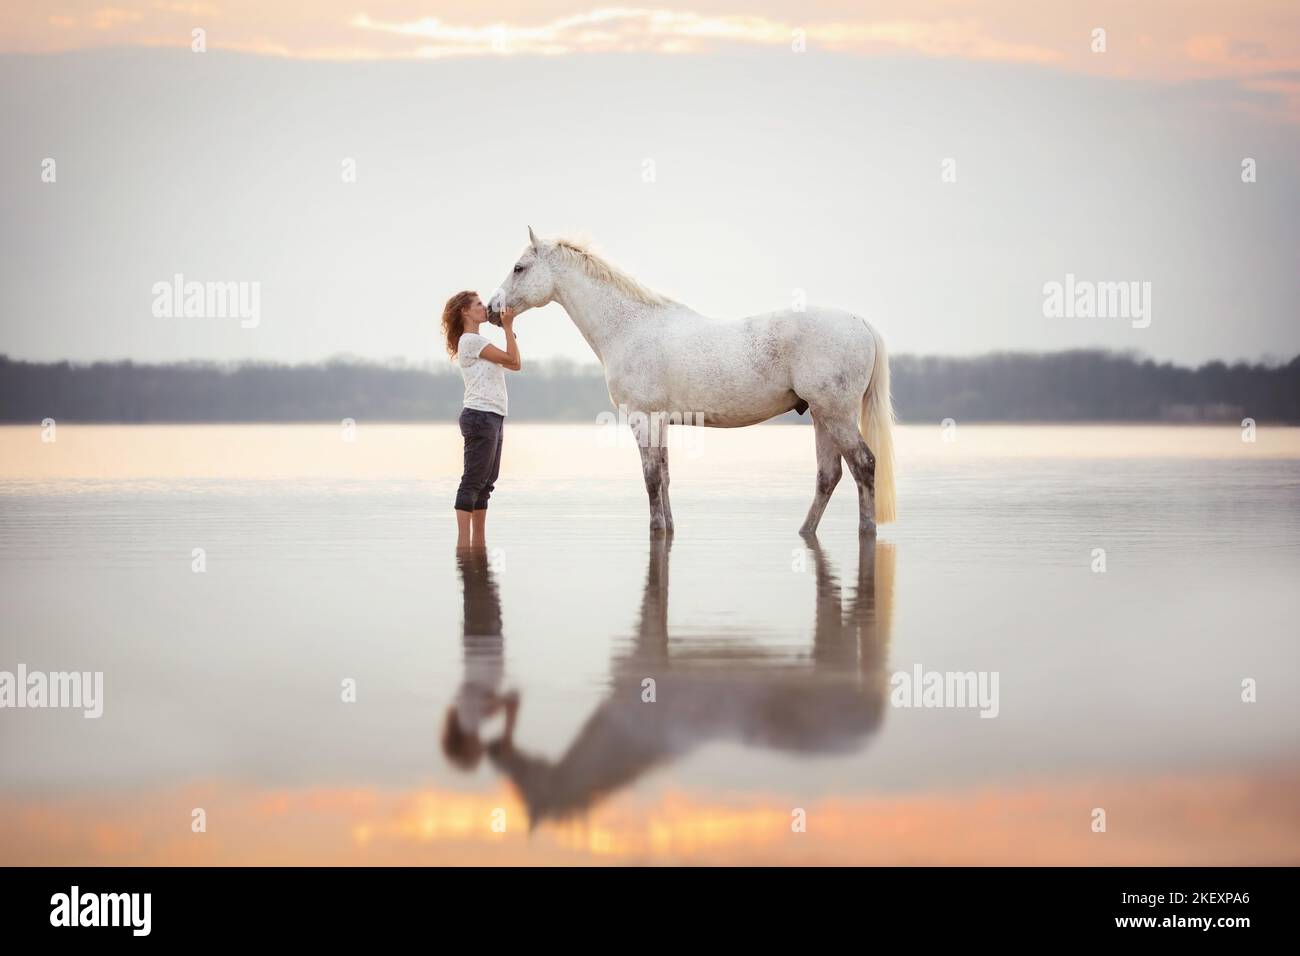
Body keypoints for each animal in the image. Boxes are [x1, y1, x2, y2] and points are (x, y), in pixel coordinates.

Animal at [487, 228, 896, 536]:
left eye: (519, 268)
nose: (492, 310)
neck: (630, 327)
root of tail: (860, 322)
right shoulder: (662, 423)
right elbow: (666, 478)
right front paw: (668, 529)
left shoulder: (644, 419)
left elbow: (652, 479)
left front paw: (655, 528)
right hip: (821, 416)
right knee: (829, 475)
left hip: (837, 415)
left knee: (864, 465)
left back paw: (866, 531)